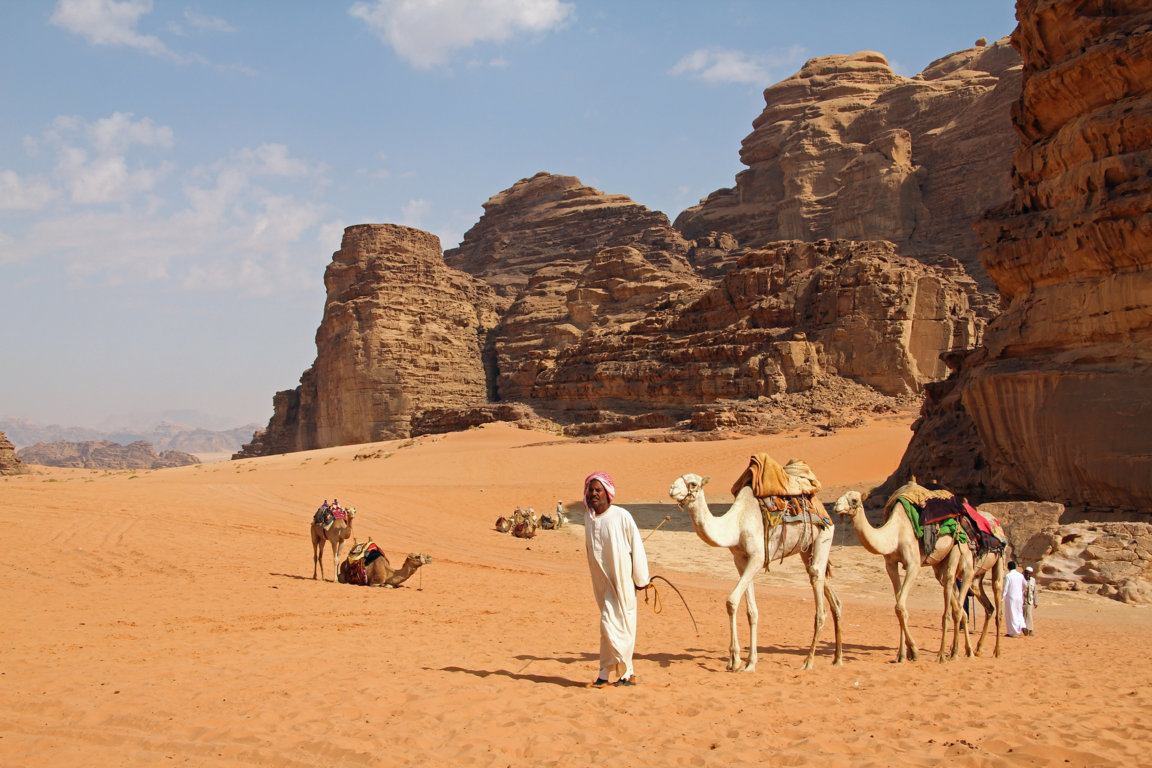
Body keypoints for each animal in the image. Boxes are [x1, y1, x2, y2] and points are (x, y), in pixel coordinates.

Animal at [663, 474, 843, 672]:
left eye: (693, 483)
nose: (672, 489)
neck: (736, 525)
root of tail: (824, 511)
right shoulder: (740, 559)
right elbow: (752, 611)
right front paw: (749, 662)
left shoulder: (757, 557)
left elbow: (731, 601)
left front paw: (735, 660)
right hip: (806, 548)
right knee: (827, 589)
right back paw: (837, 658)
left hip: (824, 537)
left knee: (818, 590)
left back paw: (808, 661)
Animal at [834, 492, 976, 667]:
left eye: (854, 500)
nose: (836, 506)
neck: (895, 534)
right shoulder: (890, 564)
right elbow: (899, 607)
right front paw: (902, 655)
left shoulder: (913, 565)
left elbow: (900, 606)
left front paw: (914, 651)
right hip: (939, 563)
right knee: (956, 601)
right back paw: (960, 651)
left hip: (960, 549)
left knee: (956, 591)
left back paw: (950, 654)